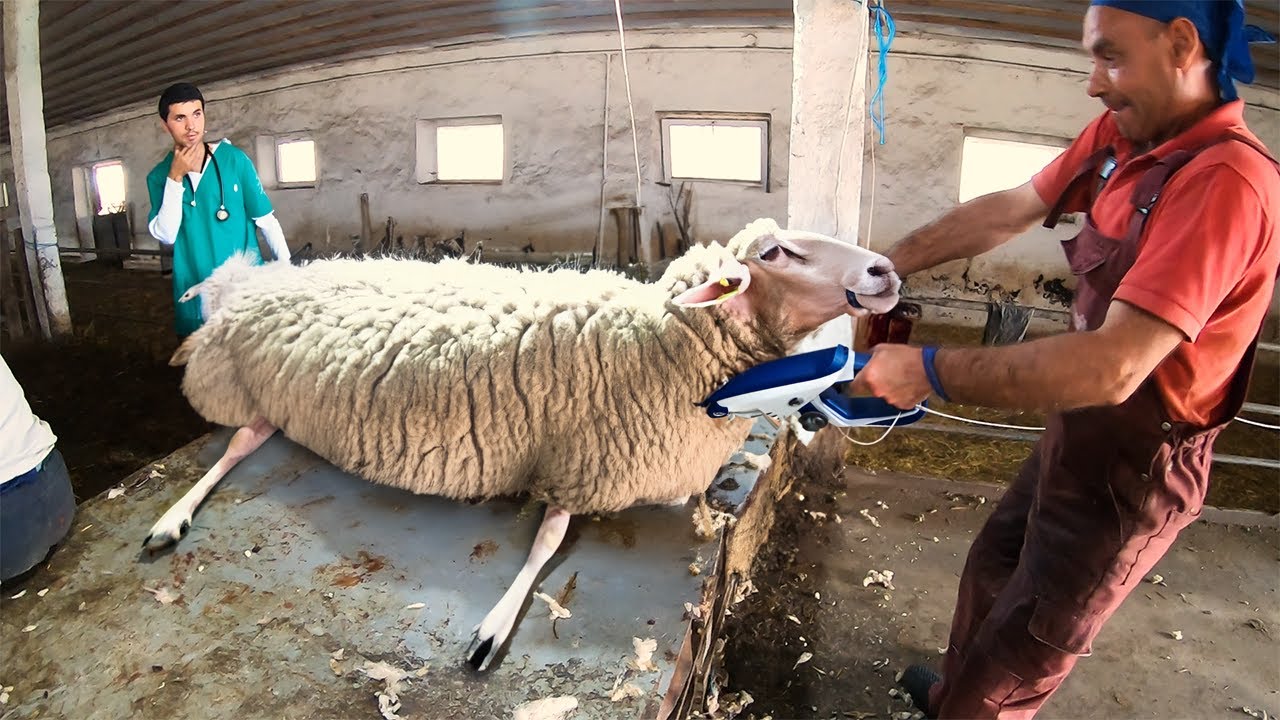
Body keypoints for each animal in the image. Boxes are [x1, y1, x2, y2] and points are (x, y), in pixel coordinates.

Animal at [142, 217, 901, 670]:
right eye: (774, 253)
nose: (885, 271)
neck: (657, 340)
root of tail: (250, 283)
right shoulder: (578, 463)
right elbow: (545, 543)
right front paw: (496, 625)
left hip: (273, 403)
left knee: (247, 441)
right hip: (241, 384)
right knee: (233, 448)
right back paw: (169, 520)